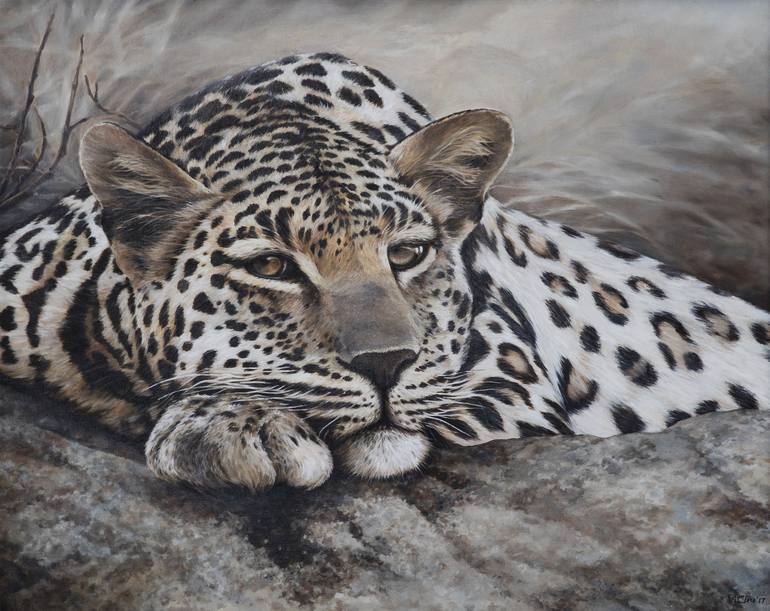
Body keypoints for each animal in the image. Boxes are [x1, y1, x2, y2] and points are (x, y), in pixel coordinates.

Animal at [0, 52, 767, 491]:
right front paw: (243, 423)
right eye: (272, 265)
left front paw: (228, 426)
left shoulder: (508, 375)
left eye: (407, 254)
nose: (387, 363)